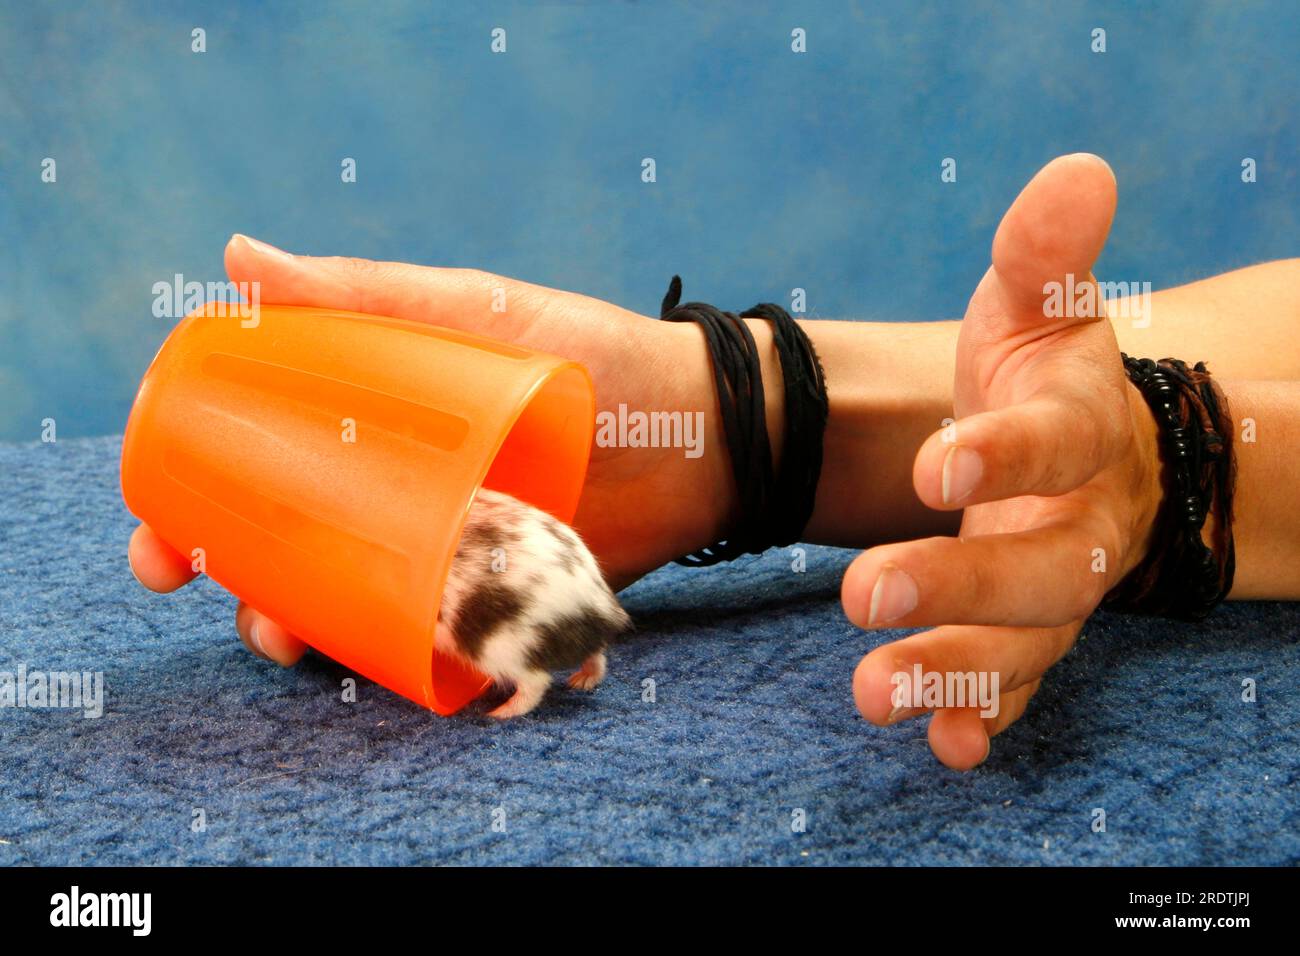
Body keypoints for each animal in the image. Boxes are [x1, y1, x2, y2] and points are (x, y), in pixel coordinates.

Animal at [433, 487, 632, 718]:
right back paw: (581, 682)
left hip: (503, 652)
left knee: (536, 686)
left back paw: (498, 713)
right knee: (597, 657)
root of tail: (601, 608)